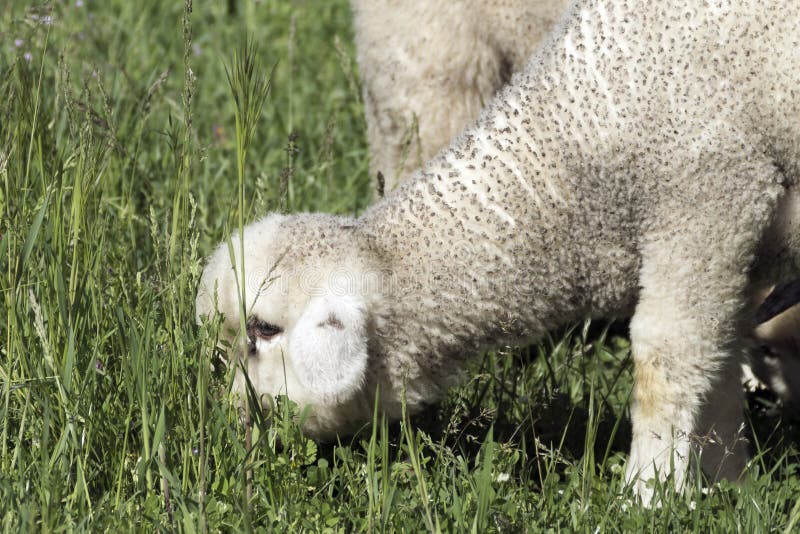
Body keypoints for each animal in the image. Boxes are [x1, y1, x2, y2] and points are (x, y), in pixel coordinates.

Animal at [198, 0, 800, 504]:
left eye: (264, 331)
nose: (236, 426)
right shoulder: (739, 246)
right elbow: (720, 361)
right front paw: (731, 485)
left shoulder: (710, 205)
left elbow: (666, 361)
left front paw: (646, 494)